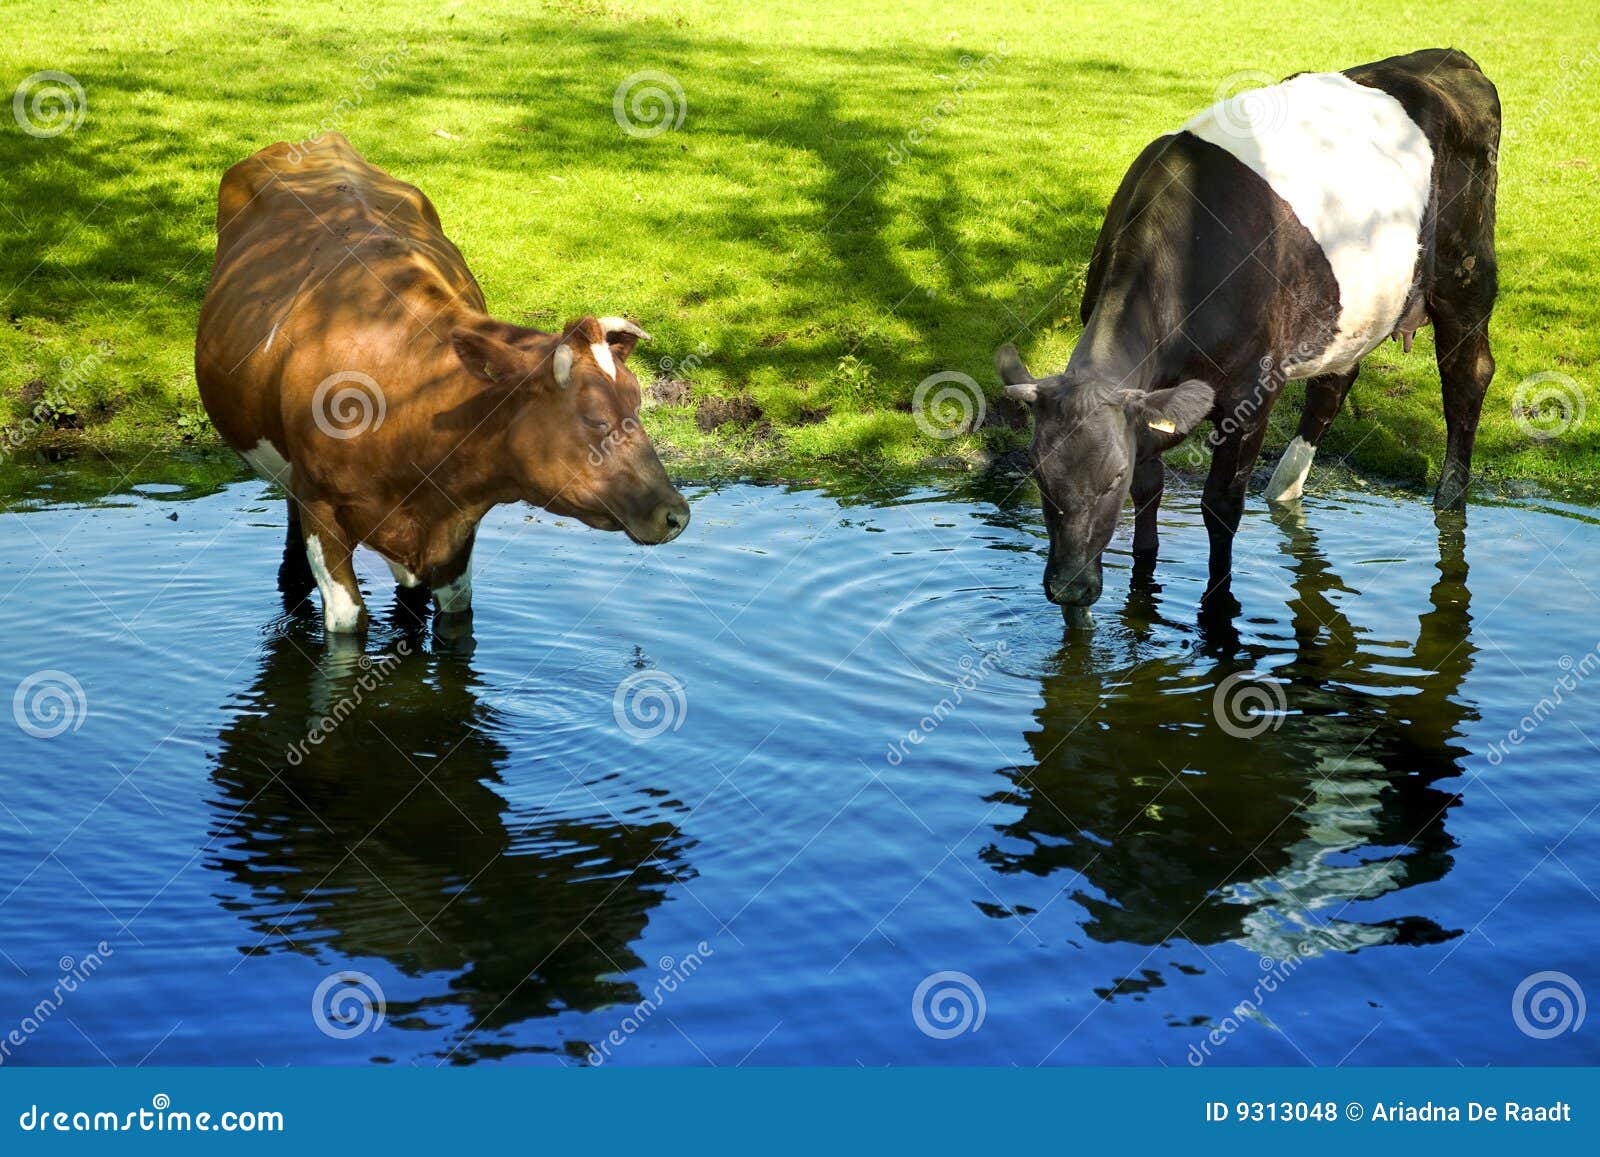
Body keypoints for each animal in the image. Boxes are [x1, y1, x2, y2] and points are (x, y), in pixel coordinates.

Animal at [196, 133, 690, 633]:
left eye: (638, 405)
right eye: (593, 419)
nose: (676, 513)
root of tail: (316, 141)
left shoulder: (455, 524)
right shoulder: (320, 507)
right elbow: (349, 623)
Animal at [996, 48, 1499, 620]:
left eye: (1110, 480)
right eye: (1039, 475)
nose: (1069, 588)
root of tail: (1446, 57)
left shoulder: (1253, 390)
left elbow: (1219, 505)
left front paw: (1218, 602)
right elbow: (1152, 487)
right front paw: (1144, 577)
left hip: (1466, 272)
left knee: (1467, 377)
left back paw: (1449, 503)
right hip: (1356, 308)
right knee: (1332, 386)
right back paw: (1284, 491)